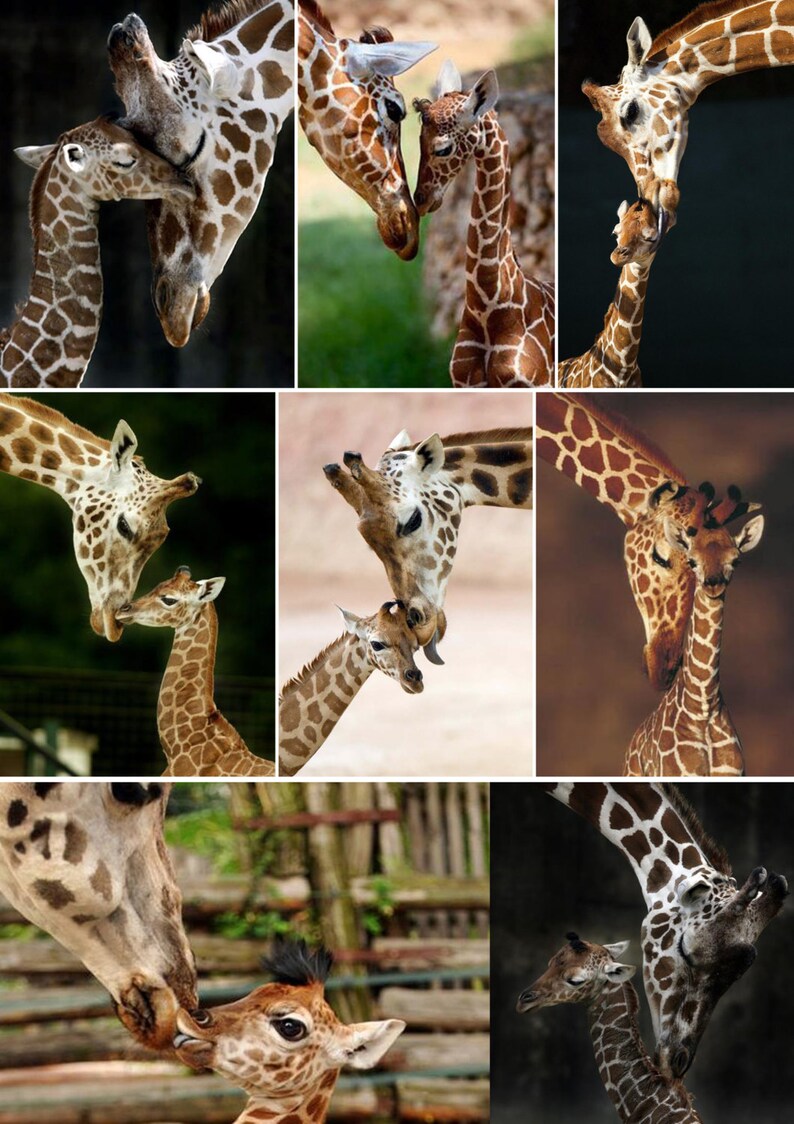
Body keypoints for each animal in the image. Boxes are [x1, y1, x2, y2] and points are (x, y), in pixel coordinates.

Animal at [414, 62, 555, 387]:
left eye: (443, 148)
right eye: (417, 141)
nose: (420, 200)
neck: (488, 306)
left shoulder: (534, 381)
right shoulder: (463, 381)